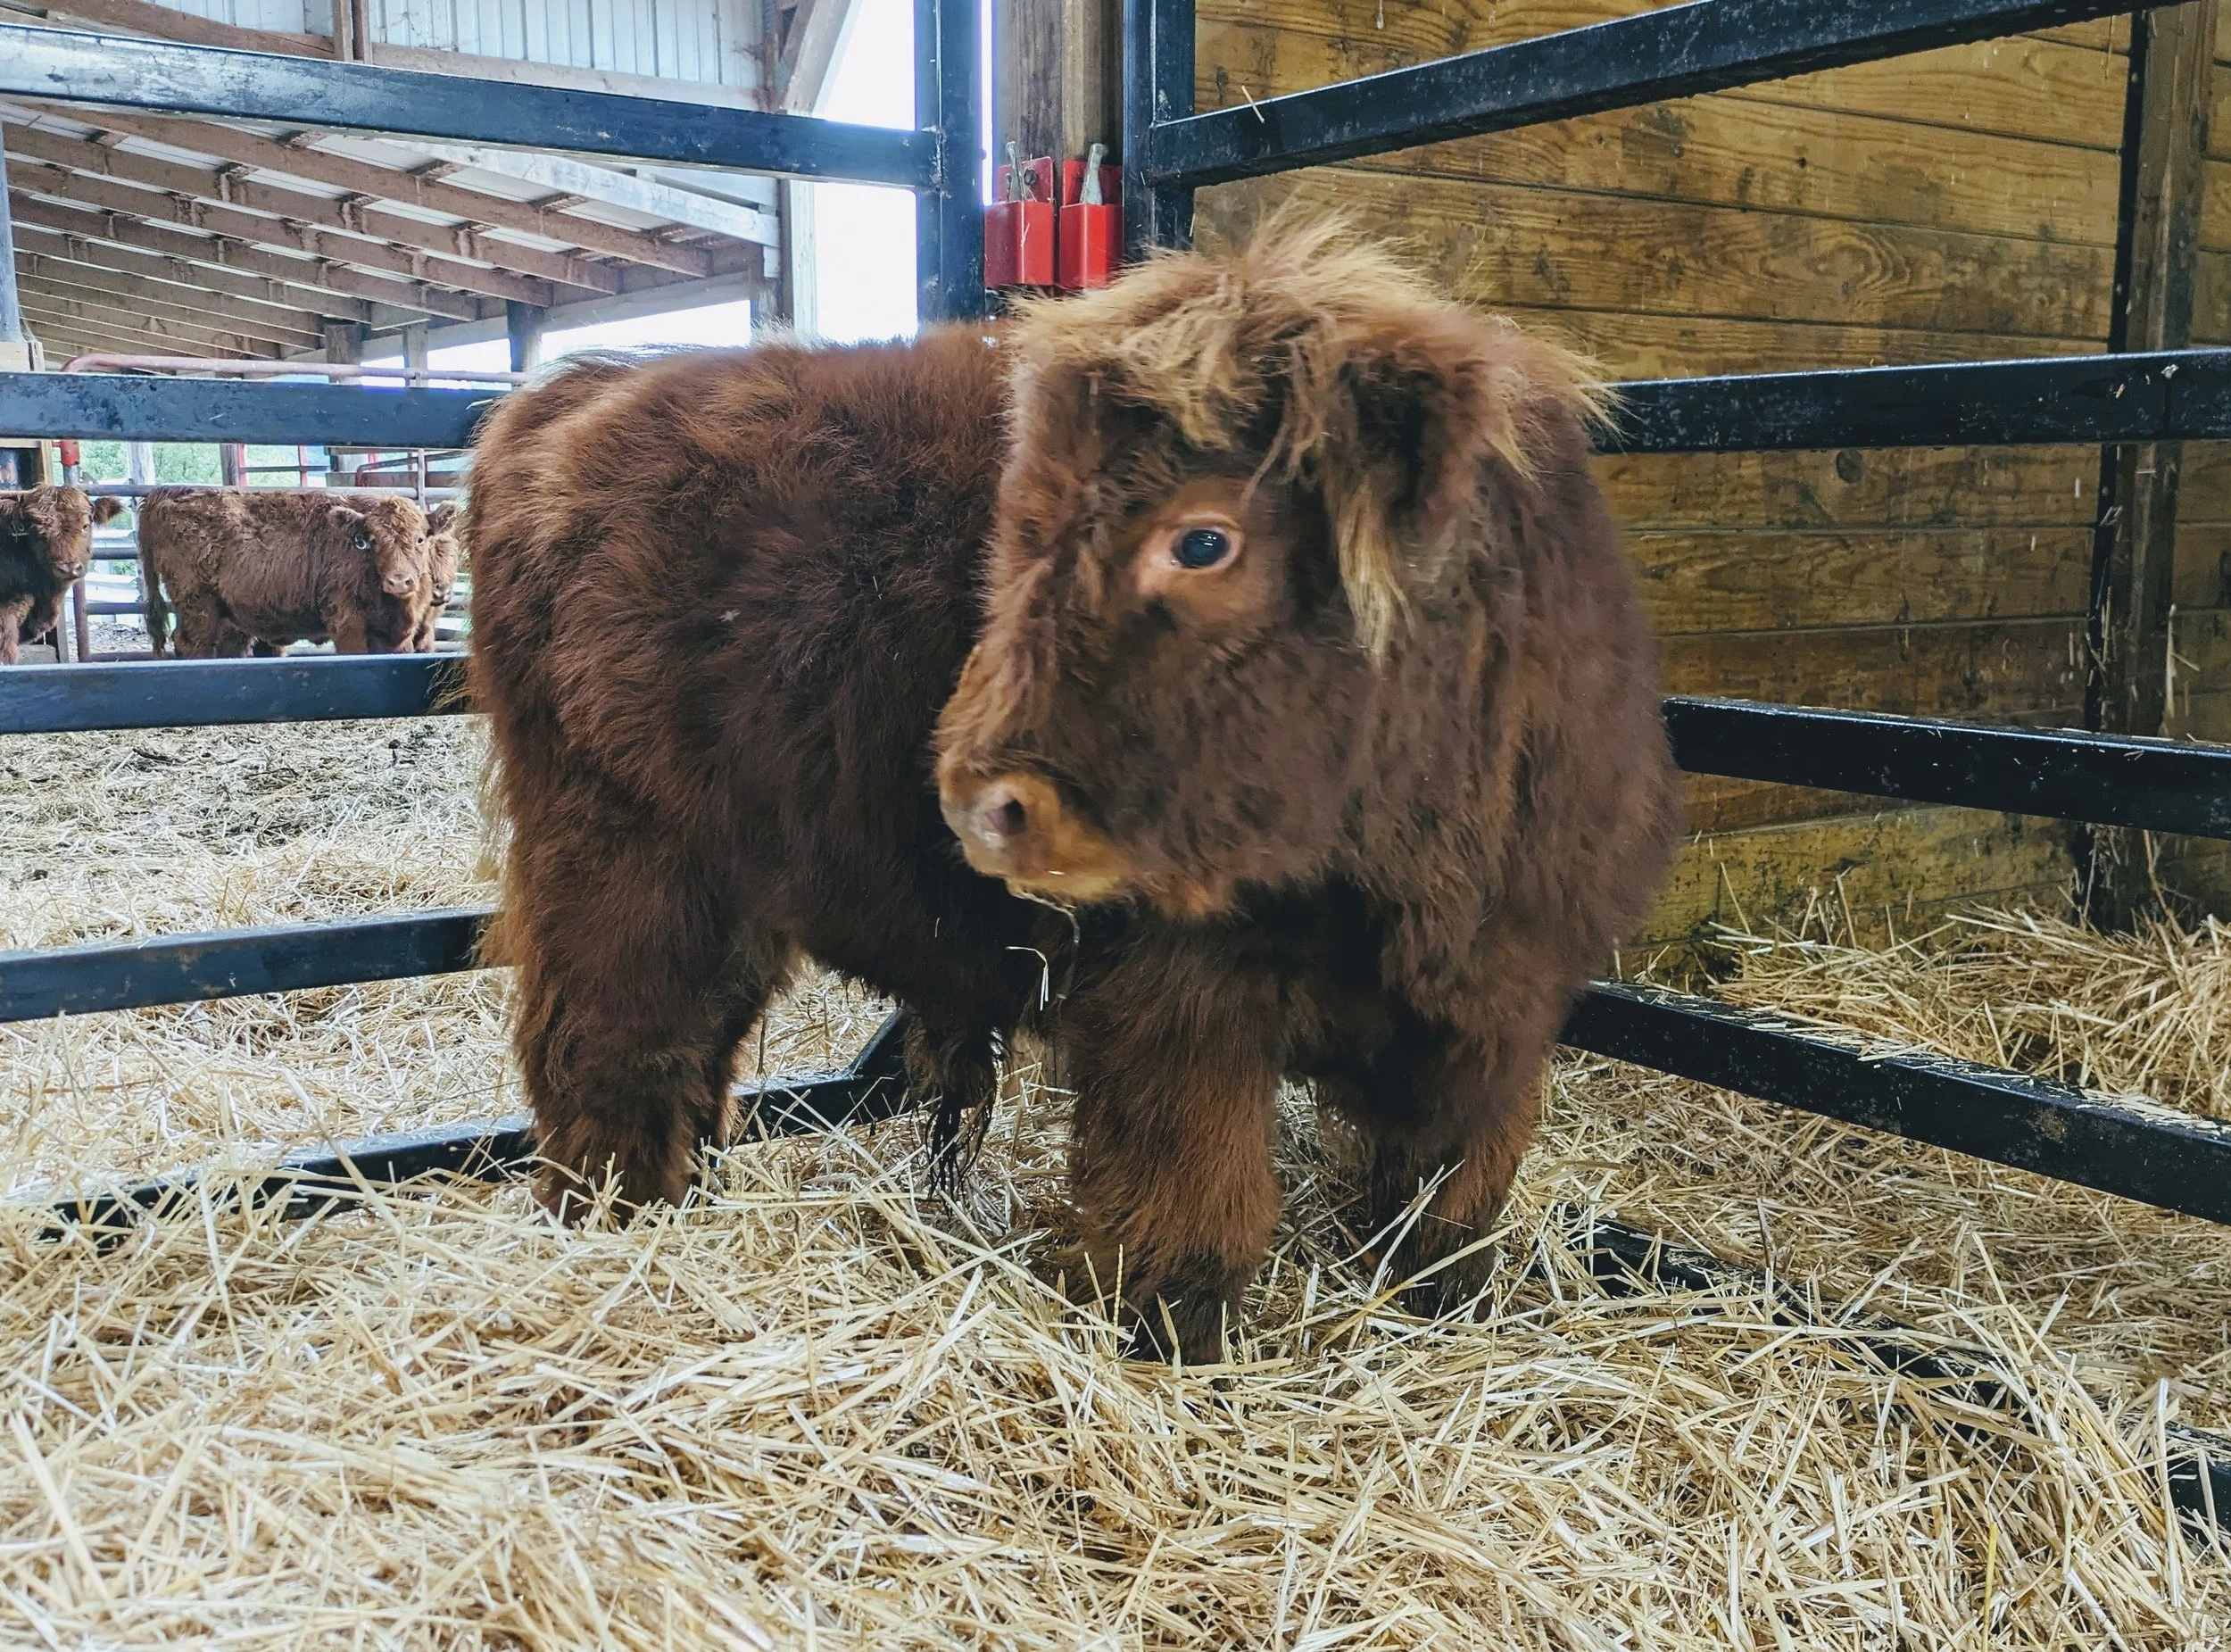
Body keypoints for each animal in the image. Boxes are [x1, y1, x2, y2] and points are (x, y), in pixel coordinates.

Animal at [138, 488, 433, 657]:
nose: (399, 582)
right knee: (191, 645)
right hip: (198, 607)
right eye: (373, 541)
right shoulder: (348, 625)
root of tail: (166, 495)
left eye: (420, 539)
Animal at [467, 217, 1682, 1360]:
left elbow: (1448, 1211)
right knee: (609, 1046)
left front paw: (1441, 1312)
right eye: (1019, 541)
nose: (979, 803)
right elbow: (1194, 1209)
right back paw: (618, 1218)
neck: (1413, 882)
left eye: (1203, 540)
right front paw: (1173, 1348)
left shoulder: (1499, 1014)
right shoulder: (1179, 1007)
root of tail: (585, 390)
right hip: (621, 857)